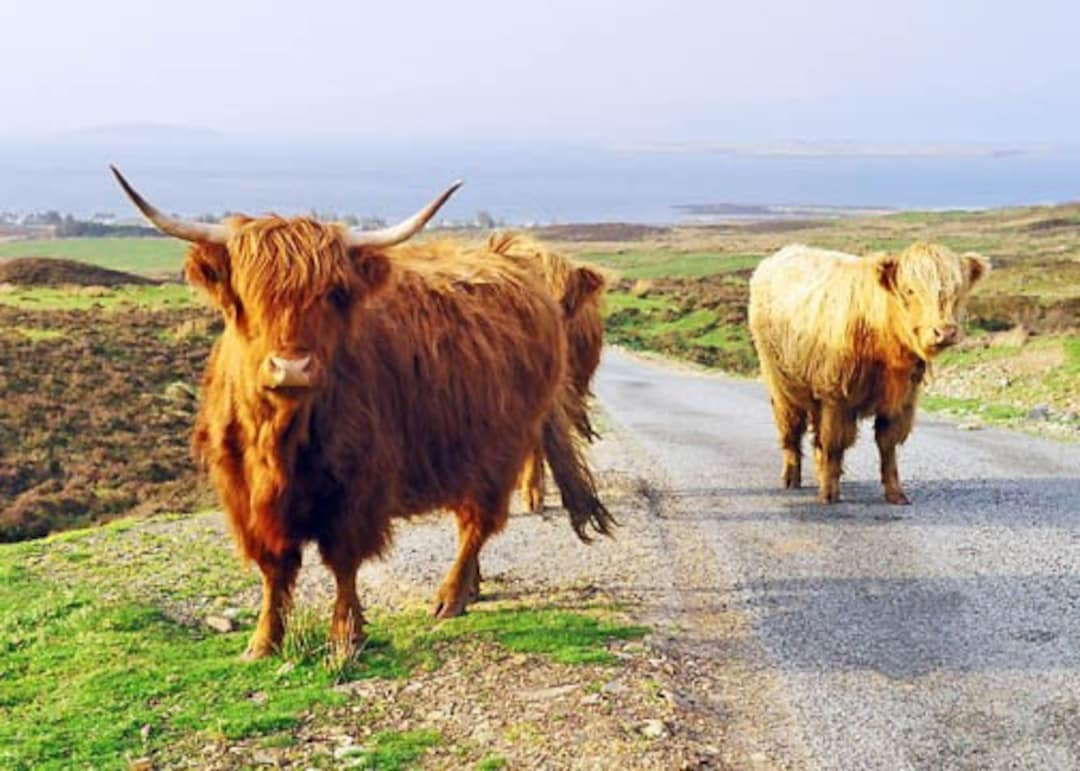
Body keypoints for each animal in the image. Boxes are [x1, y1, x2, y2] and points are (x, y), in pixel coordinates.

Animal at [748, 242, 989, 505]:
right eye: (910, 290)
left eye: (957, 291)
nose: (944, 332)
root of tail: (783, 253)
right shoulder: (836, 396)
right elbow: (834, 444)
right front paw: (829, 493)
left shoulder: (900, 400)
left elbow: (887, 445)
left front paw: (895, 493)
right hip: (782, 386)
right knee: (791, 431)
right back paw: (791, 478)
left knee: (816, 438)